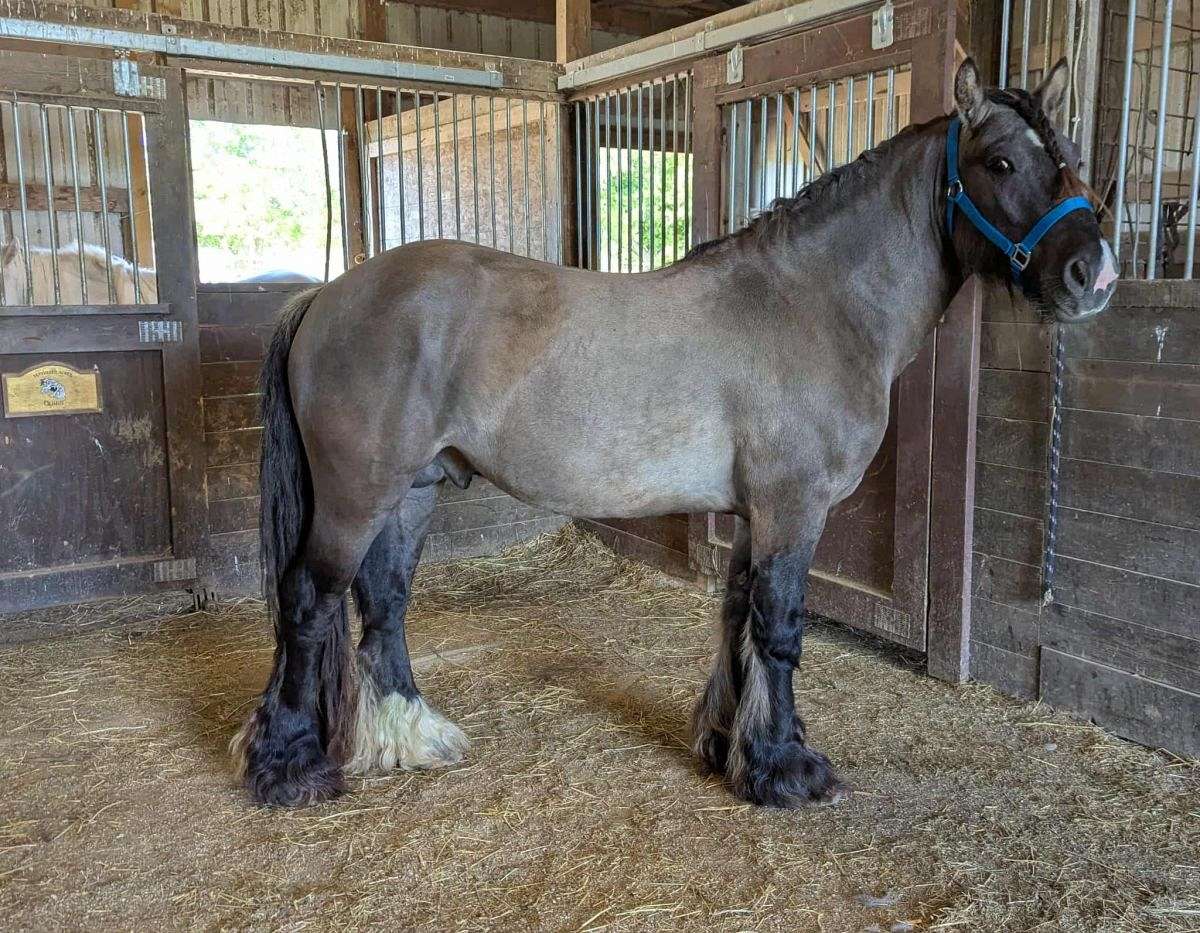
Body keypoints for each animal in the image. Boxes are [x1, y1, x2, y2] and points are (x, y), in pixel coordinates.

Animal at [231, 59, 1117, 809]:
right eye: (999, 163)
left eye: (1070, 156)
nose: (1095, 274)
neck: (811, 303)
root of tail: (326, 294)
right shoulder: (794, 507)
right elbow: (781, 629)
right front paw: (787, 769)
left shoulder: (755, 512)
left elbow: (738, 618)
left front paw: (730, 745)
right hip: (358, 493)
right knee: (309, 600)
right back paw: (287, 766)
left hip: (412, 489)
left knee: (384, 601)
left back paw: (410, 736)